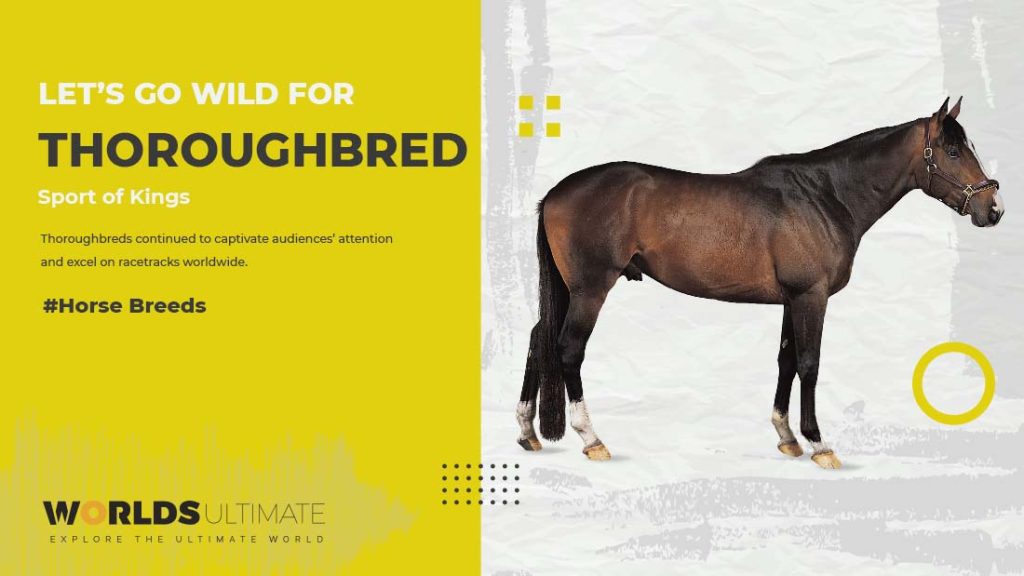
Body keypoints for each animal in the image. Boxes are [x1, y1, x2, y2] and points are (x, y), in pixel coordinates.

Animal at [515, 97, 1003, 469]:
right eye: (953, 151)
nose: (993, 209)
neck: (825, 195)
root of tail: (554, 193)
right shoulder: (811, 297)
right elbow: (809, 363)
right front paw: (818, 443)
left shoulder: (791, 300)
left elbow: (786, 361)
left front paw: (787, 437)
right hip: (590, 290)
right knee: (568, 348)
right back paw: (591, 439)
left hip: (567, 291)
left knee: (539, 338)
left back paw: (527, 432)